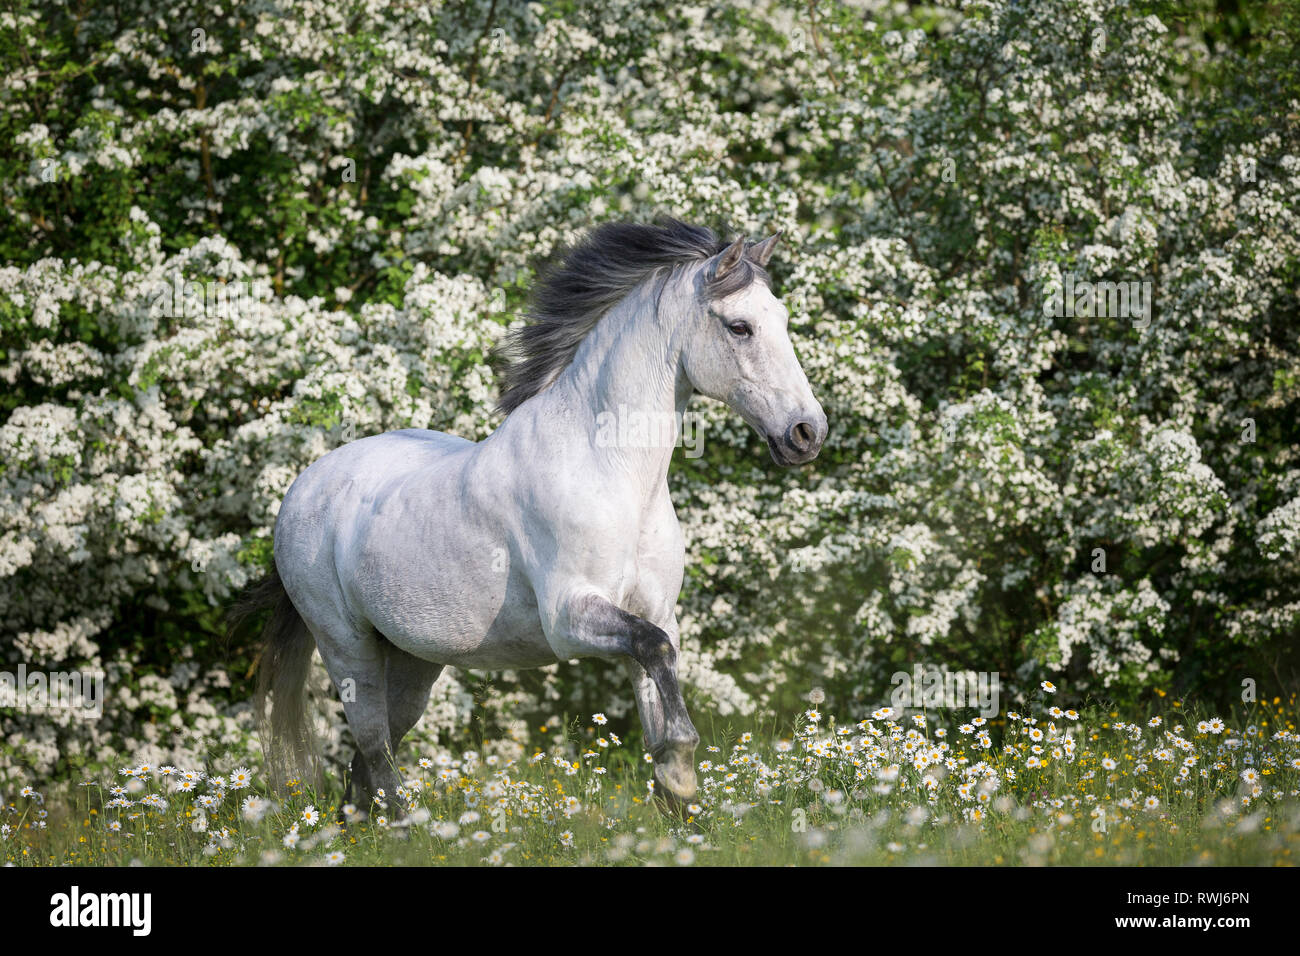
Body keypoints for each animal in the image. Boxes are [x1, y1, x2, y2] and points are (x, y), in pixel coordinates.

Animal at [234, 218, 827, 815]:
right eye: (739, 327)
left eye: (782, 320)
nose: (807, 432)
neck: (609, 468)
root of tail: (302, 488)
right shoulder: (569, 618)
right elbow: (655, 653)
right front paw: (681, 772)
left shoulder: (653, 611)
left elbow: (656, 680)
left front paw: (676, 797)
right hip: (346, 648)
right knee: (375, 749)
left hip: (413, 660)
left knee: (365, 767)